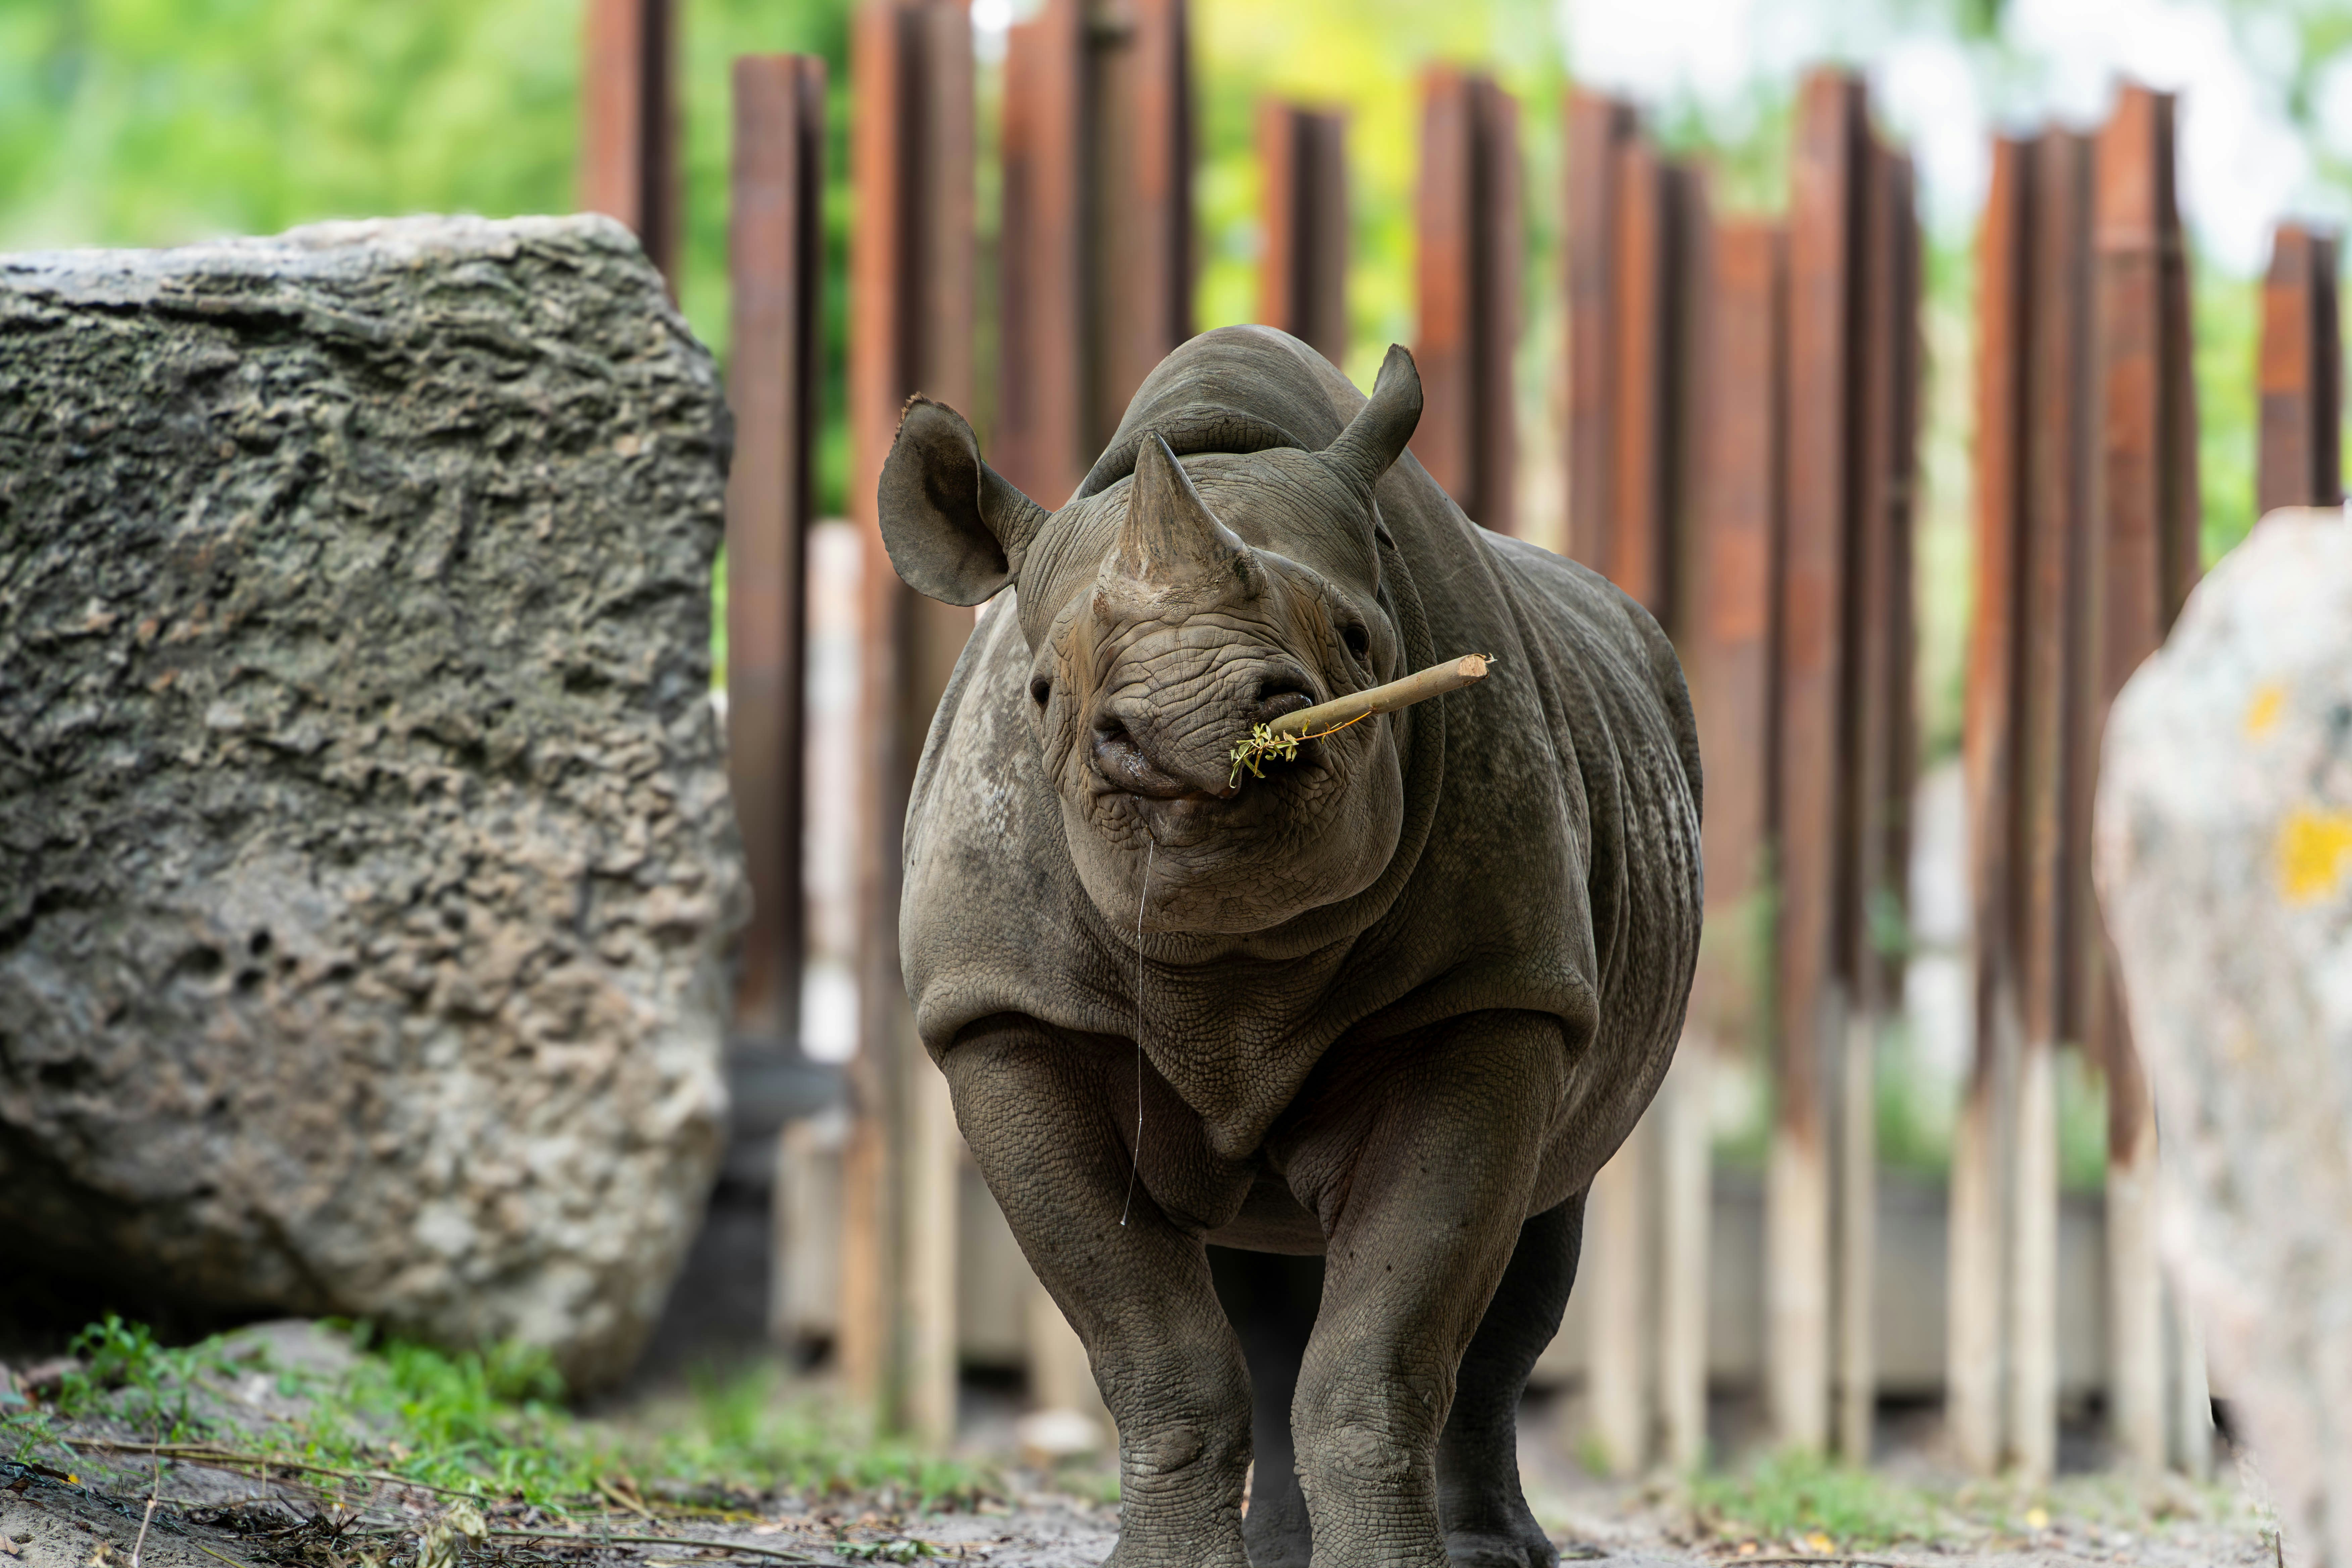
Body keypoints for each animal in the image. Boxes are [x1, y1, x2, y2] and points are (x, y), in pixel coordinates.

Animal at [878, 327, 1702, 1568]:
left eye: (1359, 640)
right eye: (1042, 691)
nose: (1191, 733)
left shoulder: (1484, 995)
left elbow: (1382, 1352)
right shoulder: (1005, 1015)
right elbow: (1156, 1353)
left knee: (1540, 1234)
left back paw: (1493, 1552)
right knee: (1257, 1277)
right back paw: (1278, 1554)